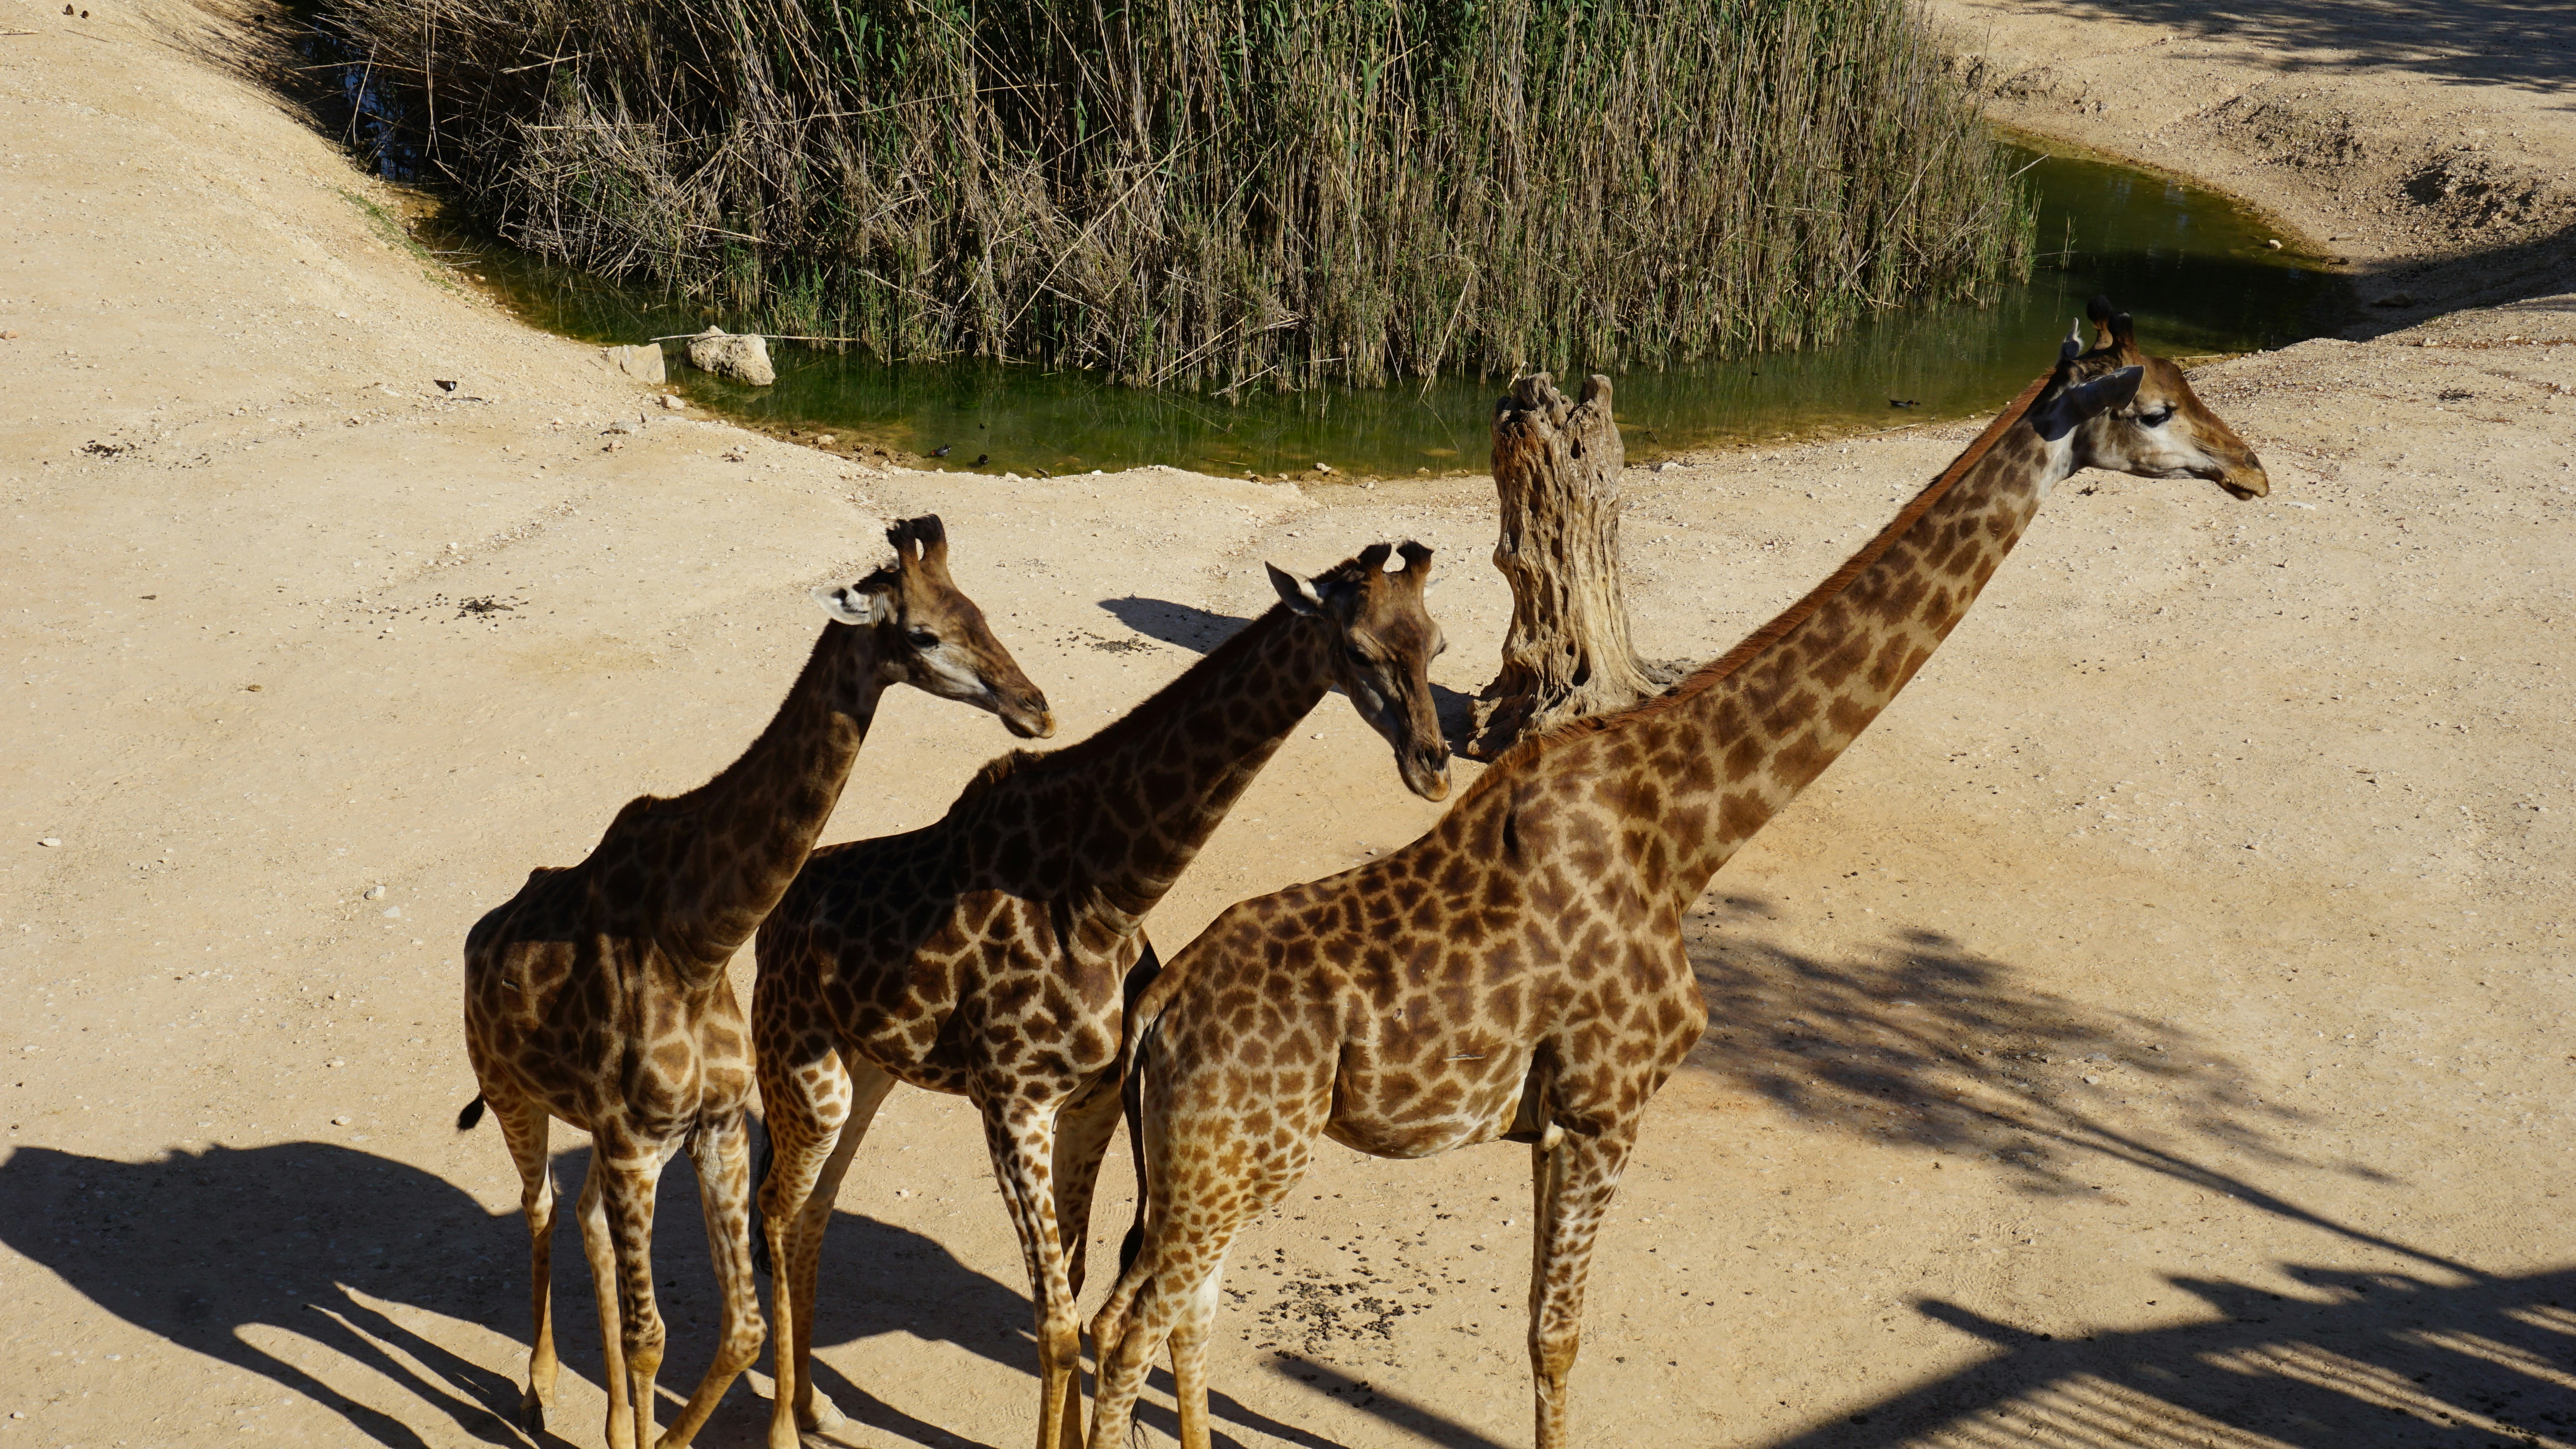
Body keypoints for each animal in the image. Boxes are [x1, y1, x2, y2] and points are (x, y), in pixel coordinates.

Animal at [456, 515, 1052, 1449]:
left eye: (981, 611)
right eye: (924, 634)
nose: (1036, 707)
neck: (701, 940)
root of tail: (479, 937)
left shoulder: (713, 1129)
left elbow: (738, 1327)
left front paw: (650, 1433)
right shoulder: (636, 1140)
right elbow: (655, 1333)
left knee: (583, 1219)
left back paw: (611, 1419)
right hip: (512, 1092)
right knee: (540, 1207)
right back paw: (537, 1389)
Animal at [751, 541, 1453, 1449]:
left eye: (1436, 645)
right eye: (1362, 652)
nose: (1433, 766)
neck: (1107, 891)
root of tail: (772, 921)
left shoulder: (1090, 1102)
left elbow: (1078, 1283)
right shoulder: (1013, 1105)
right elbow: (1054, 1322)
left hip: (863, 1073)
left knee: (816, 1212)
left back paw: (817, 1407)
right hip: (797, 1064)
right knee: (775, 1210)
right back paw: (784, 1421)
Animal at [1086, 300, 2269, 1449]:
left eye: (2191, 392)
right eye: (2157, 409)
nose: (2252, 468)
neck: (1684, 833)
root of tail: (1156, 1009)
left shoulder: (1555, 1120)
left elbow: (1542, 1327)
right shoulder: (1607, 1104)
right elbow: (1557, 1336)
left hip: (1211, 1160)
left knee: (1148, 1313)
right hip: (1237, 1153)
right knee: (1131, 1325)